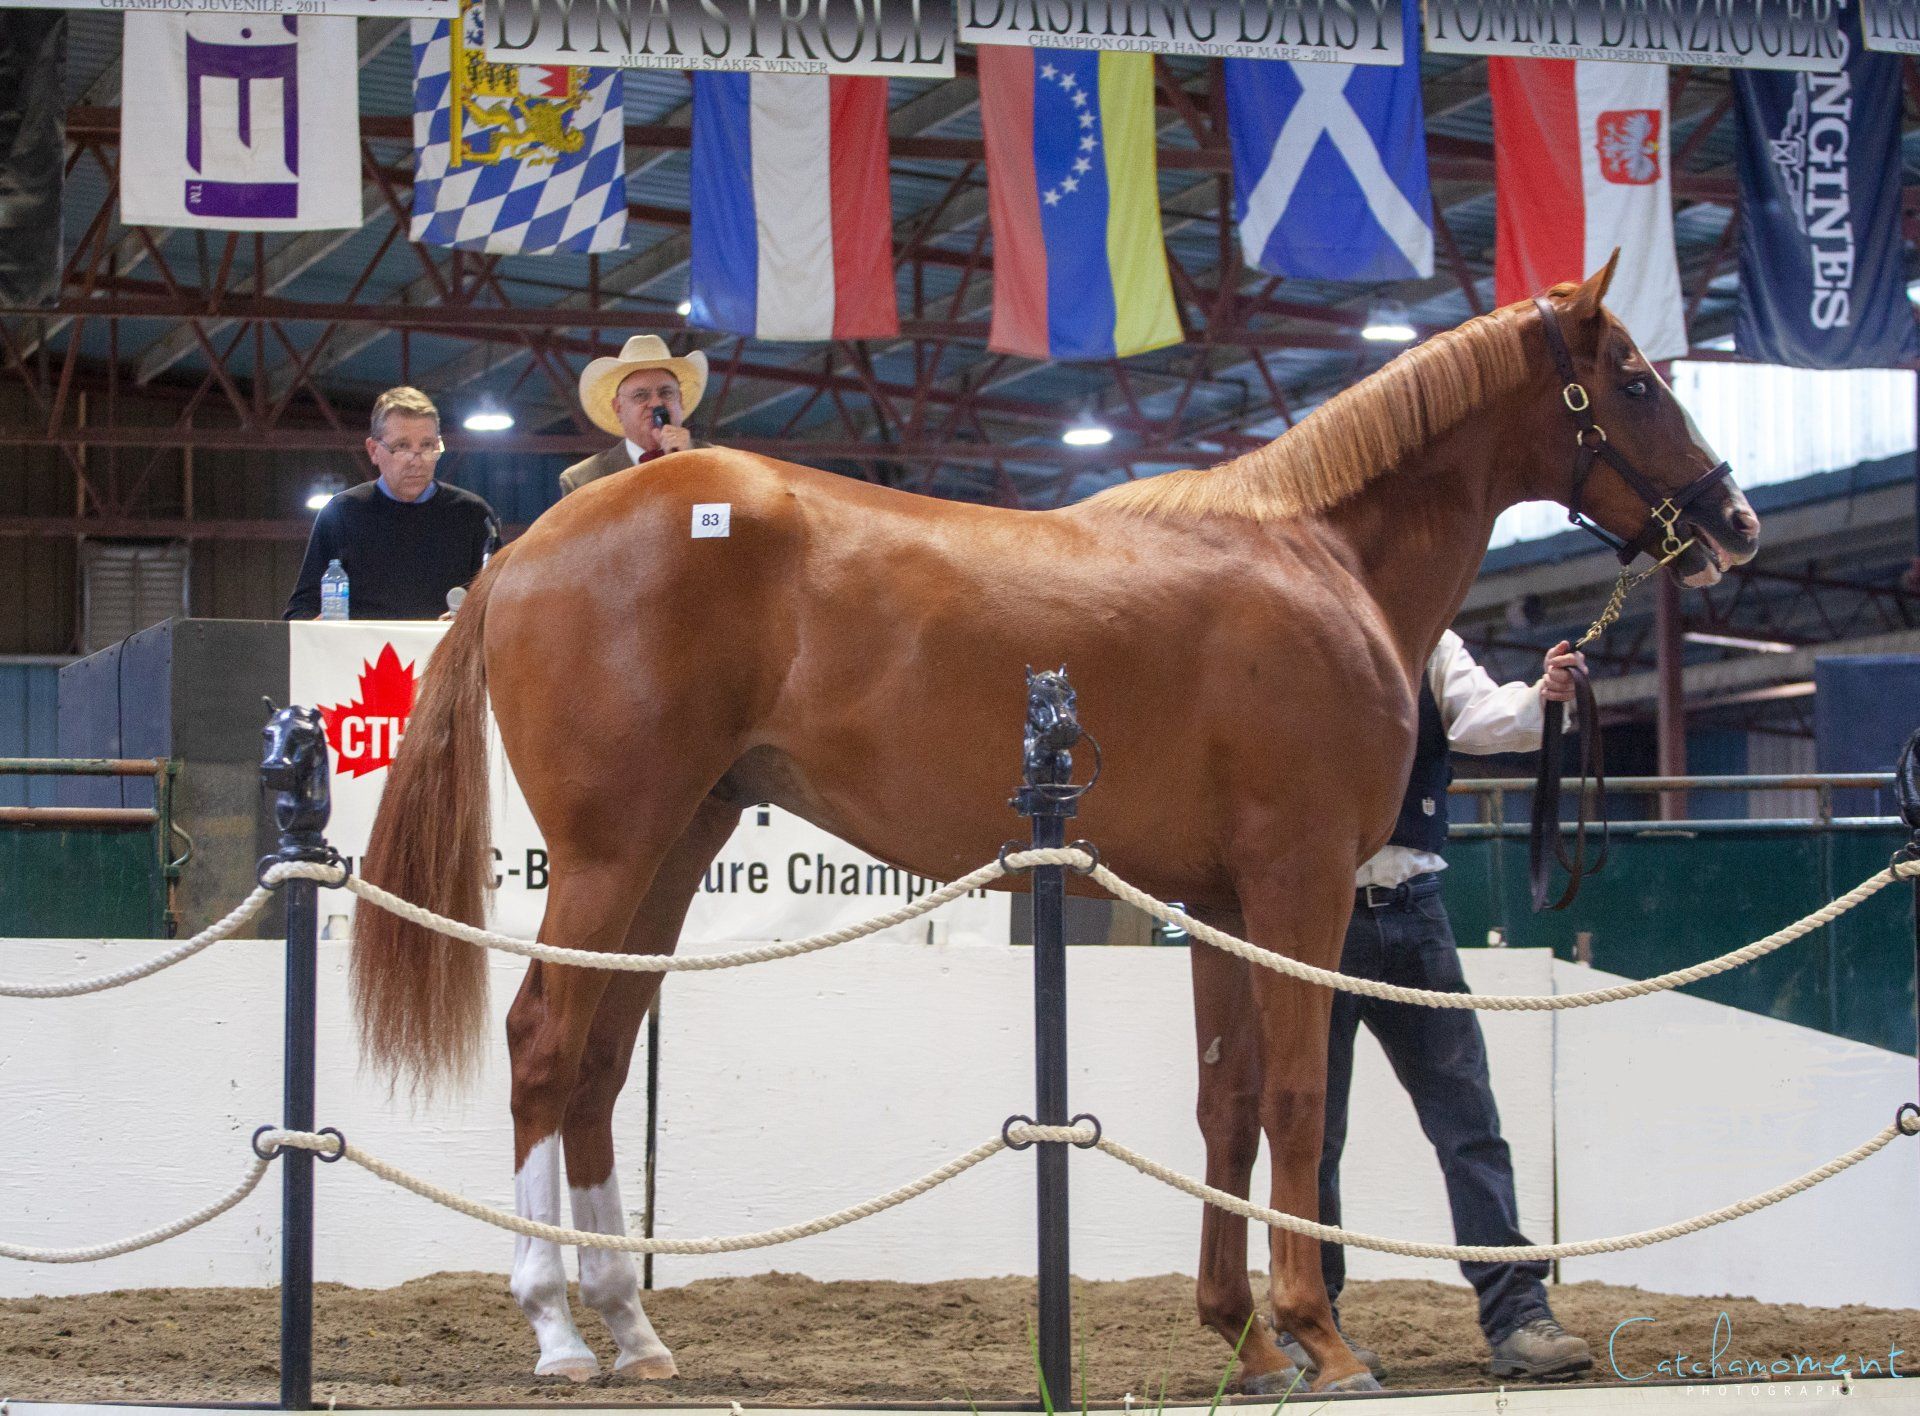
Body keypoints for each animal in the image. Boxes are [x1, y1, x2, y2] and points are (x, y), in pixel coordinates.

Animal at [350, 259, 1759, 1393]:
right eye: (1637, 381)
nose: (1733, 522)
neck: (1320, 558)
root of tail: (528, 546)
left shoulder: (1219, 901)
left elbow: (1226, 1103)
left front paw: (1246, 1337)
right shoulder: (1299, 885)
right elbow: (1299, 1098)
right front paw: (1320, 1338)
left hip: (673, 849)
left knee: (598, 1057)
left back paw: (634, 1330)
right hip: (611, 851)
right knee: (543, 1043)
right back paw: (556, 1331)